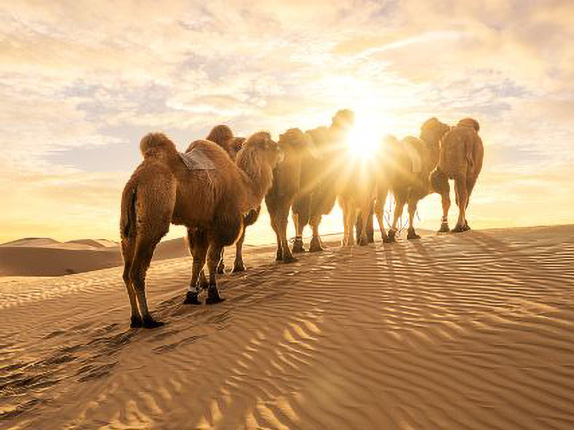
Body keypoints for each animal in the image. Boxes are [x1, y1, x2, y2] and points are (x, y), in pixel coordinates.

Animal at [121, 132, 282, 330]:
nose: (282, 151)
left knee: (126, 272)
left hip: (128, 228)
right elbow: (213, 258)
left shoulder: (200, 225)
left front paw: (191, 296)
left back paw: (135, 319)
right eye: (272, 145)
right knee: (137, 271)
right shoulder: (221, 223)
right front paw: (214, 295)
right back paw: (149, 319)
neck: (243, 185)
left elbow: (198, 260)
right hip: (154, 213)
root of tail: (135, 182)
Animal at [266, 127, 312, 262]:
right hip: (285, 195)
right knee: (281, 219)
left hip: (269, 197)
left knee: (273, 222)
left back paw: (279, 254)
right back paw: (288, 256)